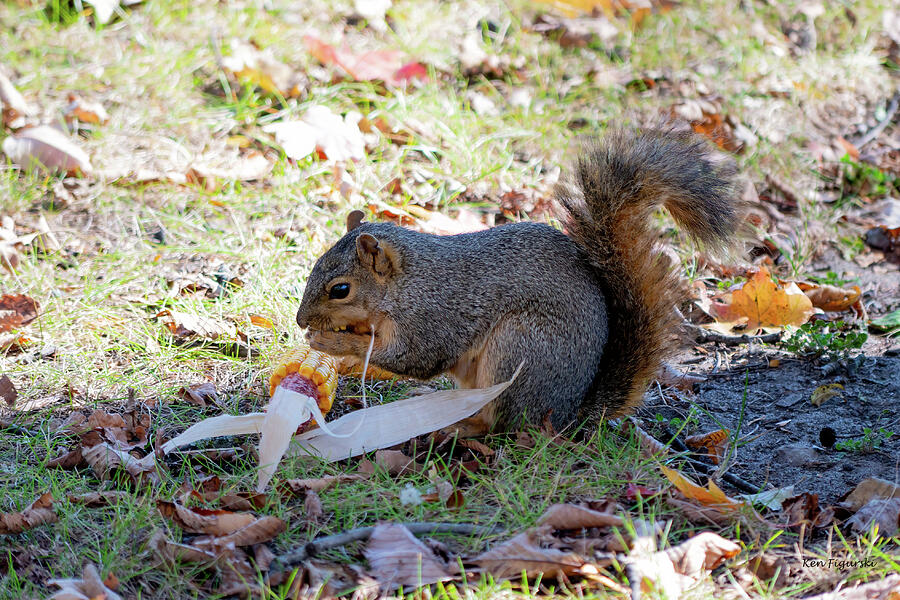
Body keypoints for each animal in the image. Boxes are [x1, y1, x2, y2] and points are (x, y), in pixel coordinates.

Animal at [295, 128, 740, 435]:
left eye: (340, 290)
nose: (301, 321)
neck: (407, 283)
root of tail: (566, 413)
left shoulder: (433, 316)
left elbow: (412, 358)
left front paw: (331, 341)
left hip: (519, 348)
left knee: (499, 423)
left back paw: (457, 426)